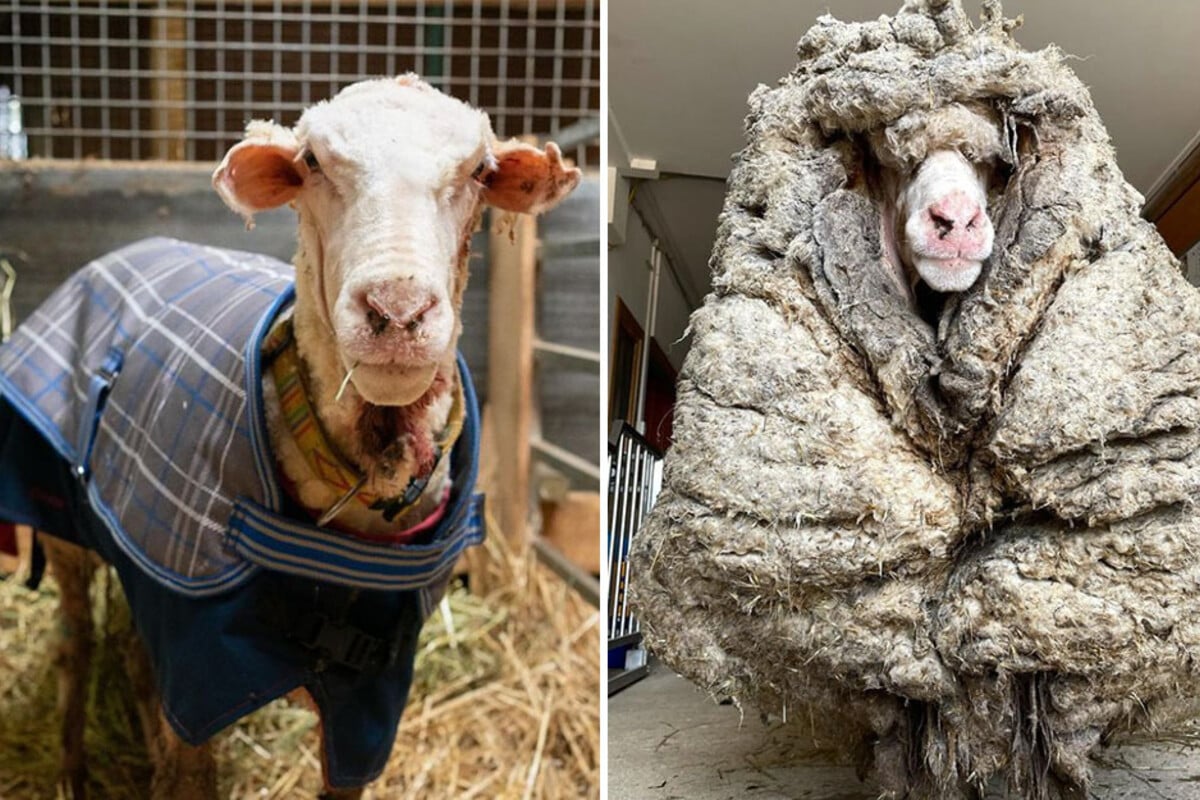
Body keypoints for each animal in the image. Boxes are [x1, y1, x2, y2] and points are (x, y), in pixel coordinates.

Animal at [0, 74, 579, 800]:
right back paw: (72, 770)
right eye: (311, 162)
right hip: (66, 533)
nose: (396, 311)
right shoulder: (198, 673)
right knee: (72, 643)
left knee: (131, 655)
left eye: (479, 170)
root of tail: (135, 246)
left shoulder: (370, 702)